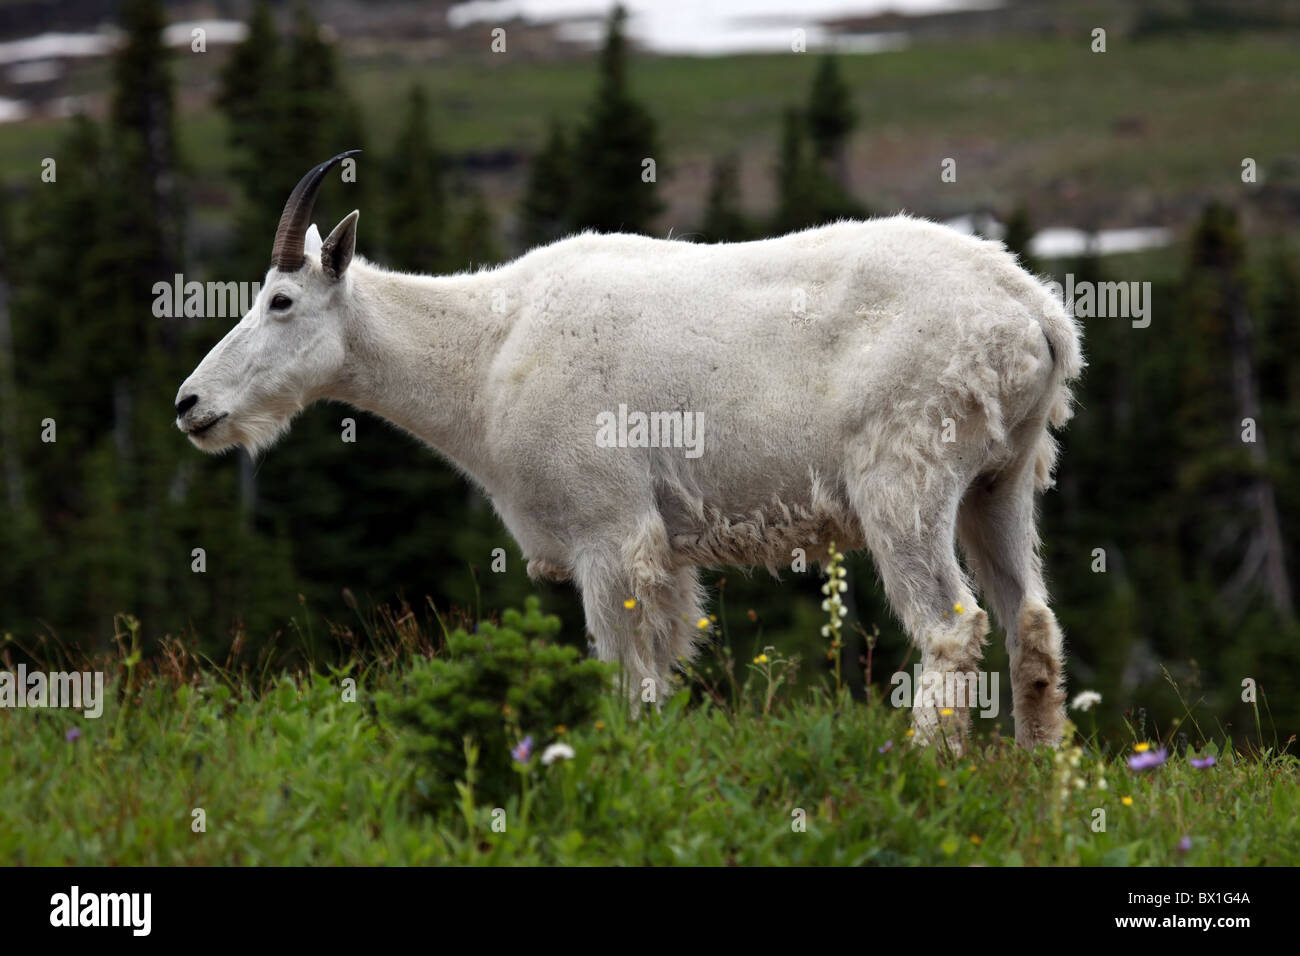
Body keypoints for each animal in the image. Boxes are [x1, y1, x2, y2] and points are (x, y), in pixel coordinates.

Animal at [177, 152, 1083, 751]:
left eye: (281, 300)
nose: (191, 406)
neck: (485, 355)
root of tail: (1035, 314)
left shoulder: (607, 531)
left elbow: (623, 678)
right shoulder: (668, 552)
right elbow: (662, 670)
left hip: (906, 475)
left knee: (951, 626)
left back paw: (925, 766)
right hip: (1000, 481)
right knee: (1030, 621)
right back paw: (1044, 788)